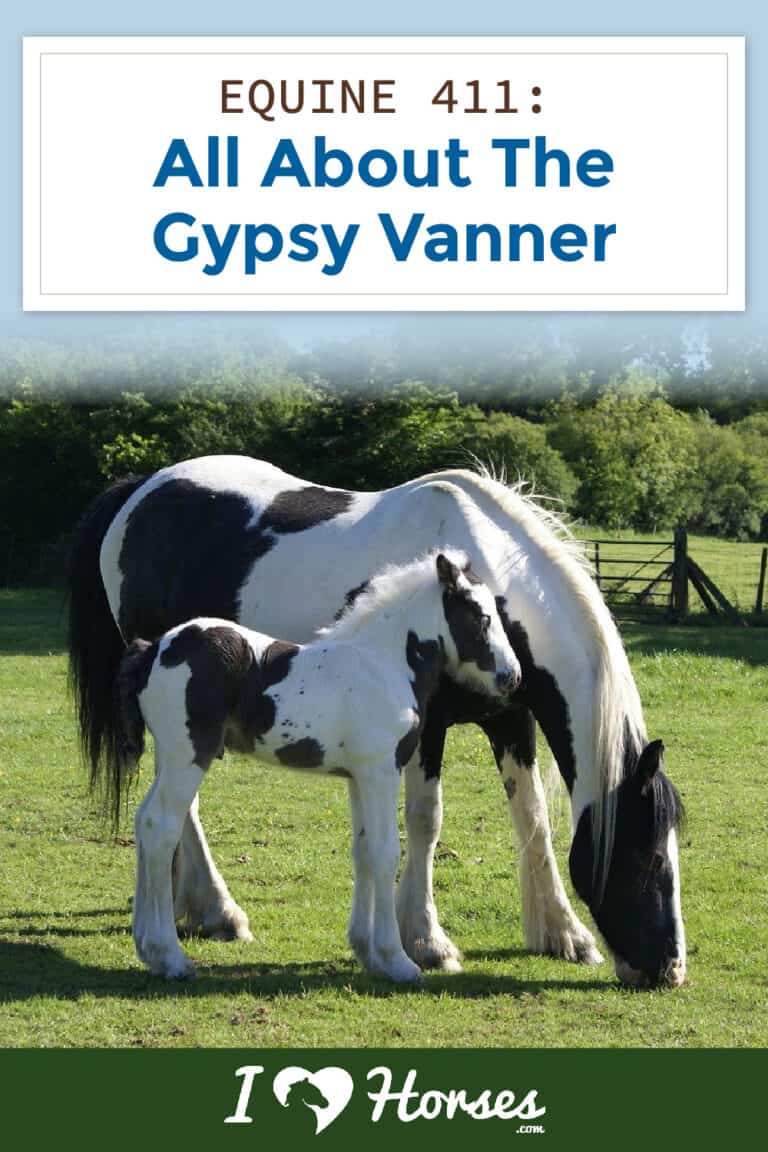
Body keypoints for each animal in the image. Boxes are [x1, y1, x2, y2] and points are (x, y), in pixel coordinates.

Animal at [114, 551, 521, 982]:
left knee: (143, 821)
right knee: (161, 826)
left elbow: (363, 850)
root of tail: (154, 649)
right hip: (187, 755)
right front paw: (397, 960)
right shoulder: (381, 771)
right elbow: (385, 852)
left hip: (169, 754)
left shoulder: (358, 777)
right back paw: (170, 956)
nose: (511, 677)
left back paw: (147, 946)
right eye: (480, 616)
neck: (383, 664)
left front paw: (368, 952)